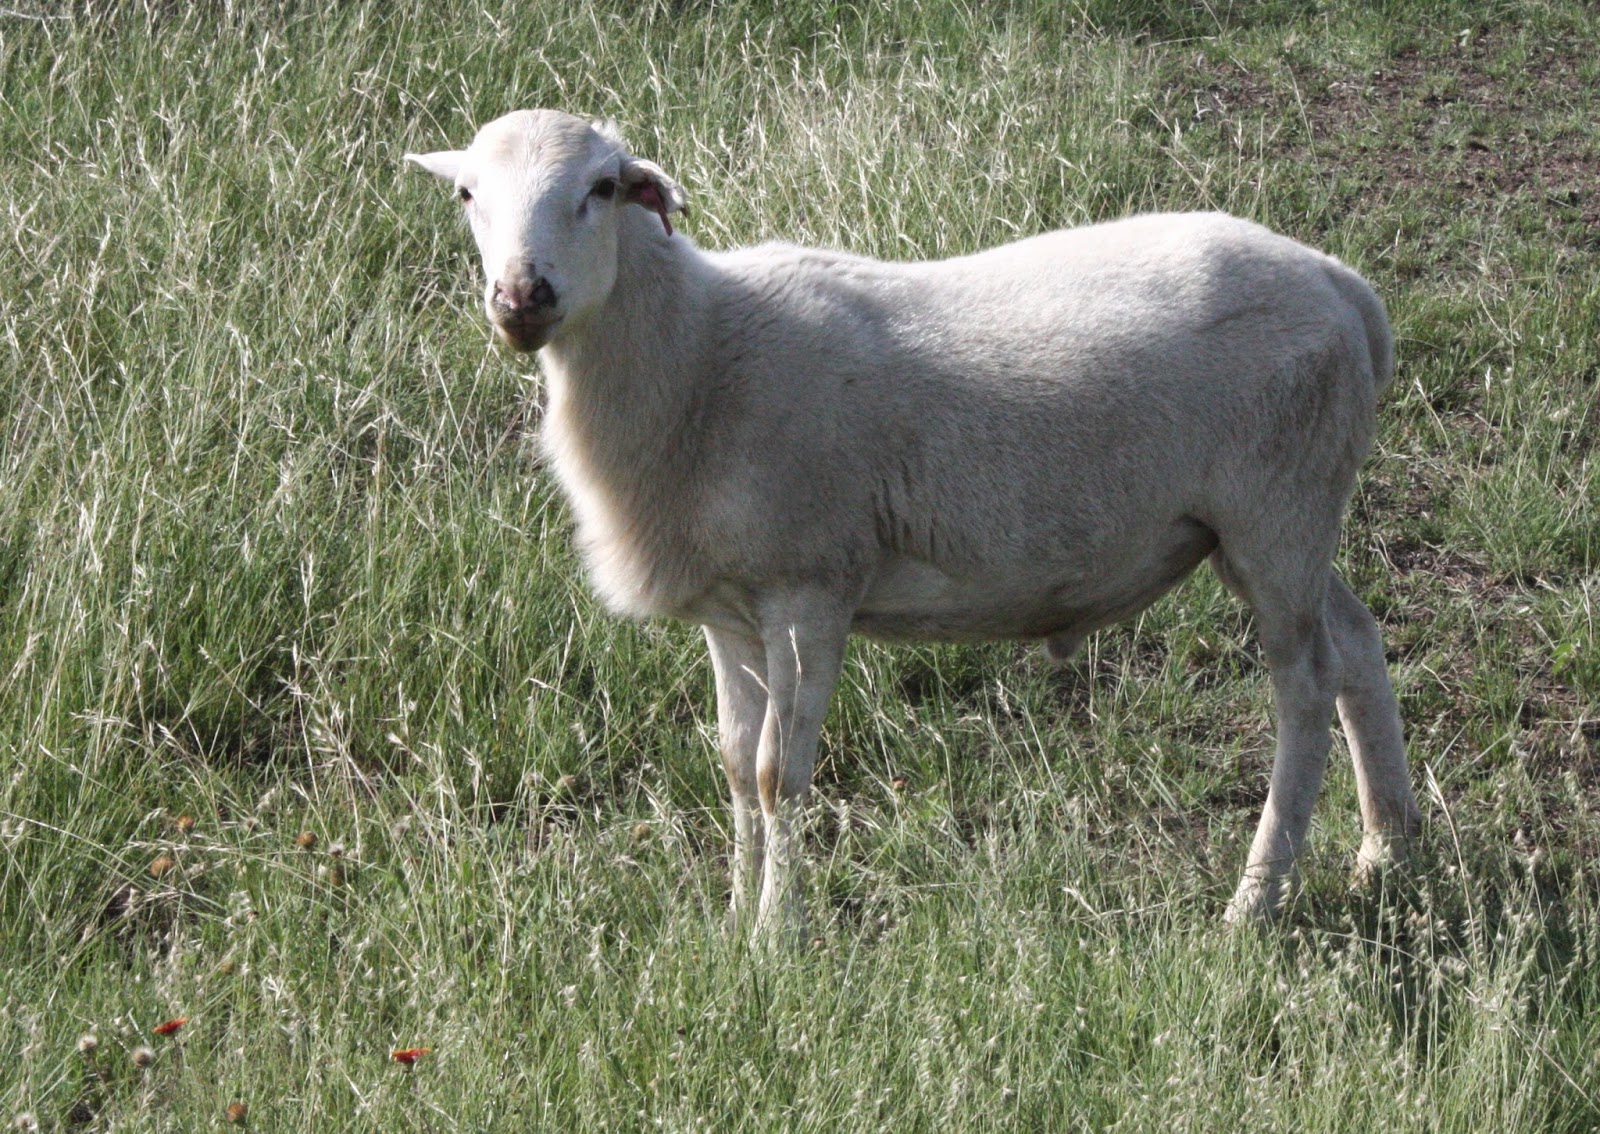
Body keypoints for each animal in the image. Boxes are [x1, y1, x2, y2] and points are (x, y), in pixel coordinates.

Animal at [406, 109, 1422, 938]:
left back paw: (1256, 903)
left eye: (603, 189)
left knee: (1304, 688)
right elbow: (733, 766)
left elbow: (777, 776)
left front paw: (776, 939)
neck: (702, 353)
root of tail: (1345, 289)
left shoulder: (810, 585)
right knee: (1355, 639)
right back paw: (1387, 851)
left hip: (1274, 506)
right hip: (1285, 516)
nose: (521, 297)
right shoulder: (730, 611)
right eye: (466, 193)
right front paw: (730, 923)